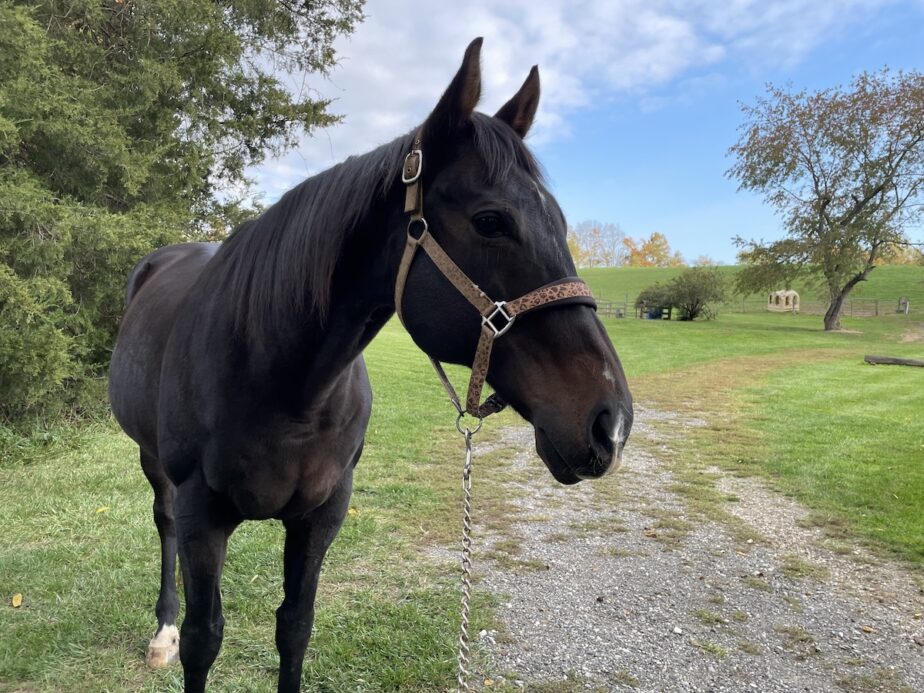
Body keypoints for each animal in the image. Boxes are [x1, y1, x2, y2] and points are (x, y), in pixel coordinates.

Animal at [108, 38, 633, 693]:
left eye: (559, 224)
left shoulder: (323, 514)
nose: (610, 423)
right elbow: (205, 641)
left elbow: (294, 628)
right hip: (154, 464)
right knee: (164, 526)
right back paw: (163, 631)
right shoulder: (203, 515)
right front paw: (182, 637)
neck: (286, 386)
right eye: (491, 221)